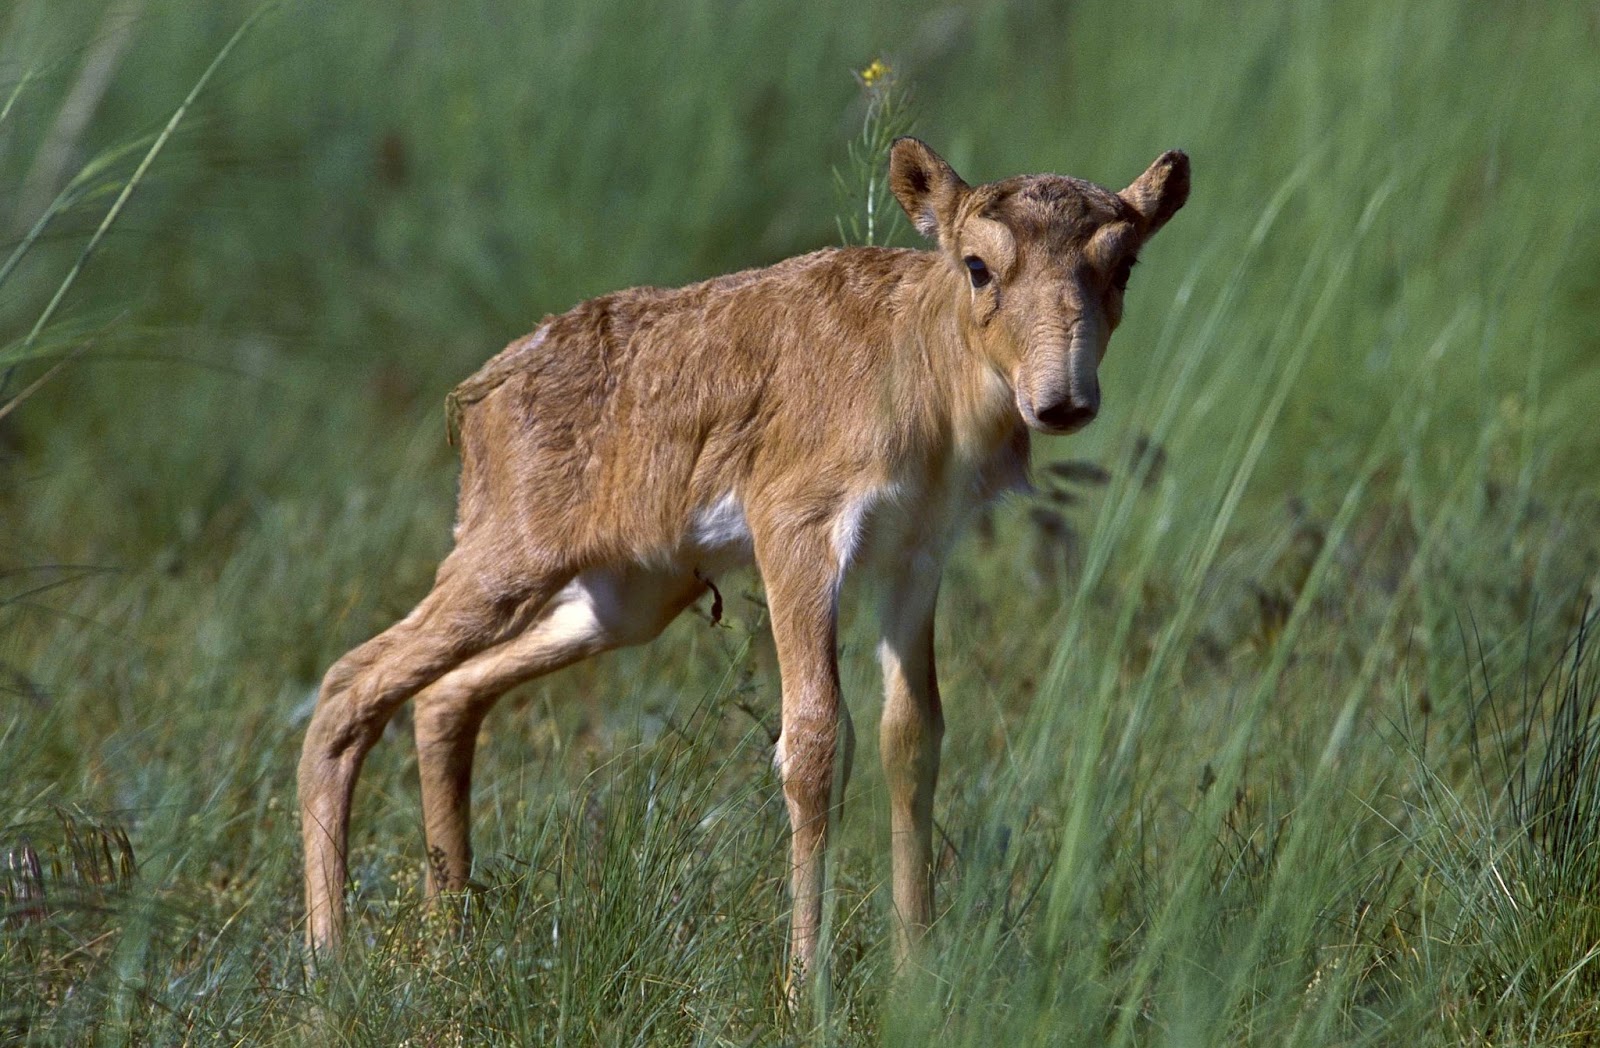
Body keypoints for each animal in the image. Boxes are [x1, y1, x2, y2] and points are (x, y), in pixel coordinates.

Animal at [298, 138, 1189, 983]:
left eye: (1123, 264)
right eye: (978, 264)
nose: (1062, 402)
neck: (924, 367)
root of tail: (483, 388)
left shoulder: (915, 555)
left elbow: (912, 738)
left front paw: (916, 980)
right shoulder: (797, 532)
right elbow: (816, 742)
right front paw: (804, 993)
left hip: (626, 599)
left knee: (444, 697)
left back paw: (447, 941)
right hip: (503, 563)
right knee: (348, 688)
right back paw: (328, 972)